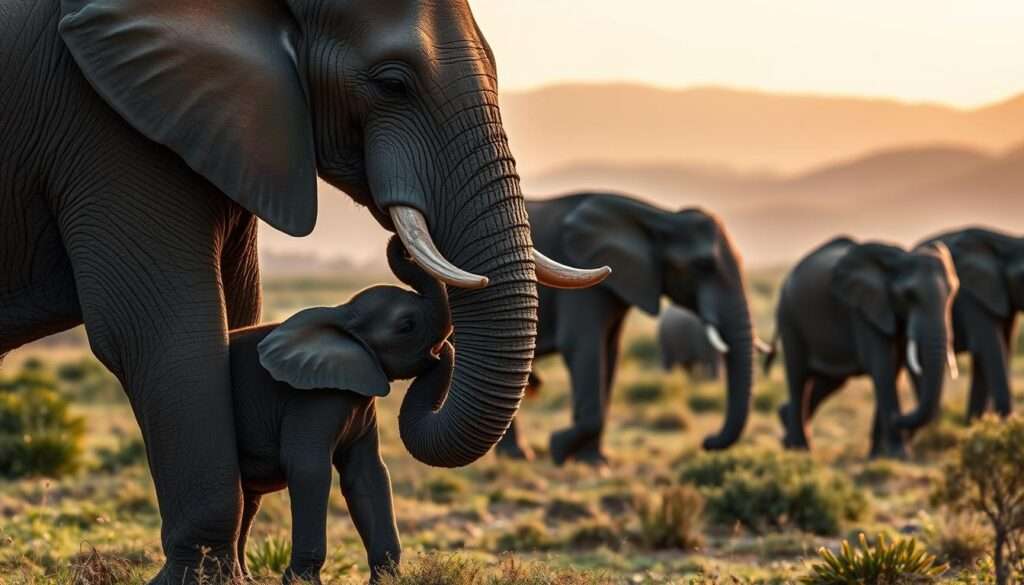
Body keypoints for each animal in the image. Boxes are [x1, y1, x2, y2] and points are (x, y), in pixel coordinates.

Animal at [232, 238, 451, 584]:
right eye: (406, 326)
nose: (441, 350)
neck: (343, 316)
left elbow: (368, 473)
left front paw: (387, 580)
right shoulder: (311, 401)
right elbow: (309, 468)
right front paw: (300, 581)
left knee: (248, 501)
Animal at [496, 192, 756, 465]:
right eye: (703, 264)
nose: (707, 441)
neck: (659, 216)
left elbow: (609, 354)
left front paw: (594, 462)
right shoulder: (578, 275)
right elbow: (581, 347)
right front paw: (558, 447)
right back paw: (519, 455)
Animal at [763, 237, 959, 457]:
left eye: (953, 292)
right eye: (908, 295)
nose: (898, 416)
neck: (899, 259)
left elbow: (894, 370)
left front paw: (878, 455)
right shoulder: (863, 312)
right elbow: (883, 368)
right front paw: (899, 455)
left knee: (830, 381)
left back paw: (785, 429)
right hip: (789, 317)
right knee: (798, 378)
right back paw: (799, 449)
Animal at [919, 228, 1024, 421]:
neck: (1008, 242)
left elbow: (1001, 348)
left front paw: (976, 422)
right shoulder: (973, 295)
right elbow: (990, 349)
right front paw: (1007, 421)